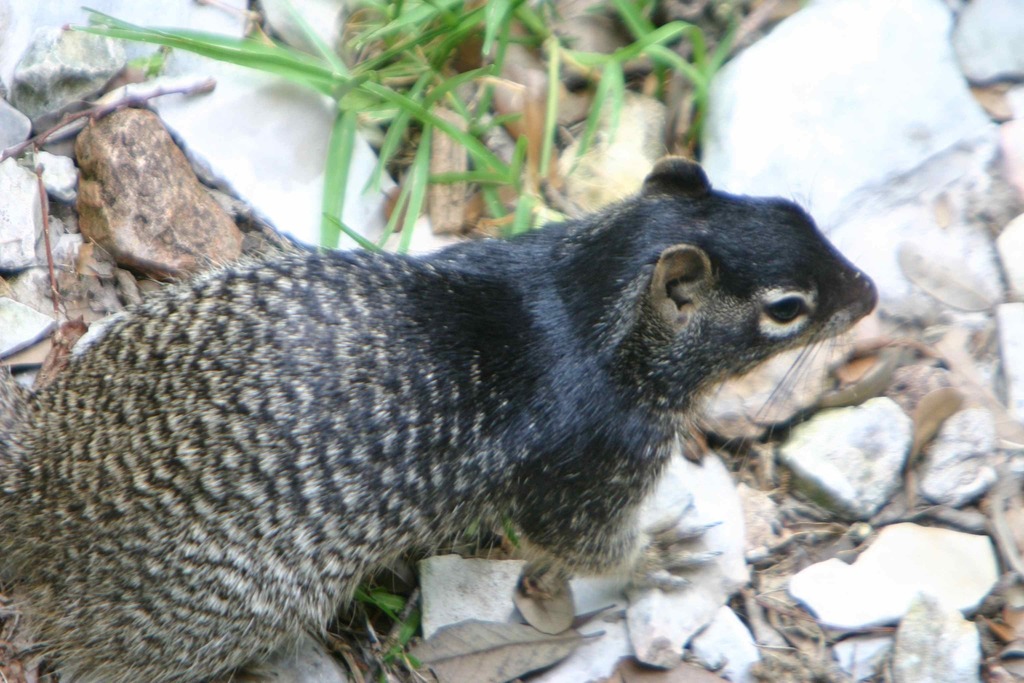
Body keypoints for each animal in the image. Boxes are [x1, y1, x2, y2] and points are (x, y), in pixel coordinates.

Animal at [0, 158, 875, 682]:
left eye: (792, 207)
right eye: (787, 309)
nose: (868, 291)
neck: (580, 296)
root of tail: (37, 503)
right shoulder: (593, 470)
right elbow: (587, 545)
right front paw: (658, 552)